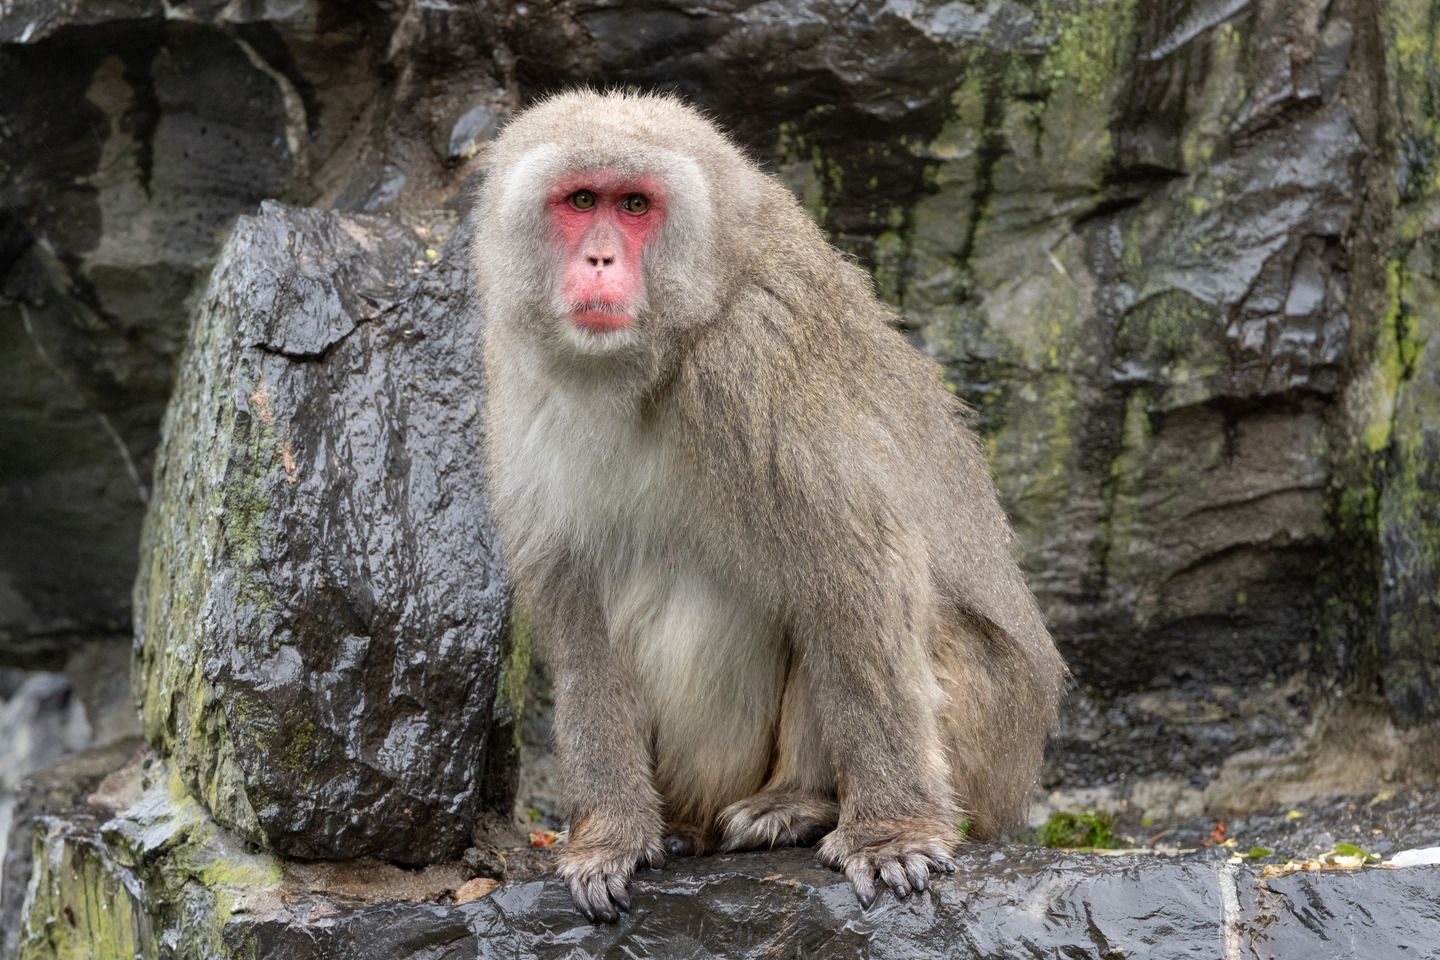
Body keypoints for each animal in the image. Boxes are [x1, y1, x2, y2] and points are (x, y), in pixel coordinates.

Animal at [469, 90, 1066, 922]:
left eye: (634, 205)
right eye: (581, 201)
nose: (599, 261)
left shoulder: (753, 361)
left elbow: (857, 564)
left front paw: (891, 833)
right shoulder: (518, 372)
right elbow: (576, 604)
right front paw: (610, 832)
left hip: (985, 745)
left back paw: (803, 803)